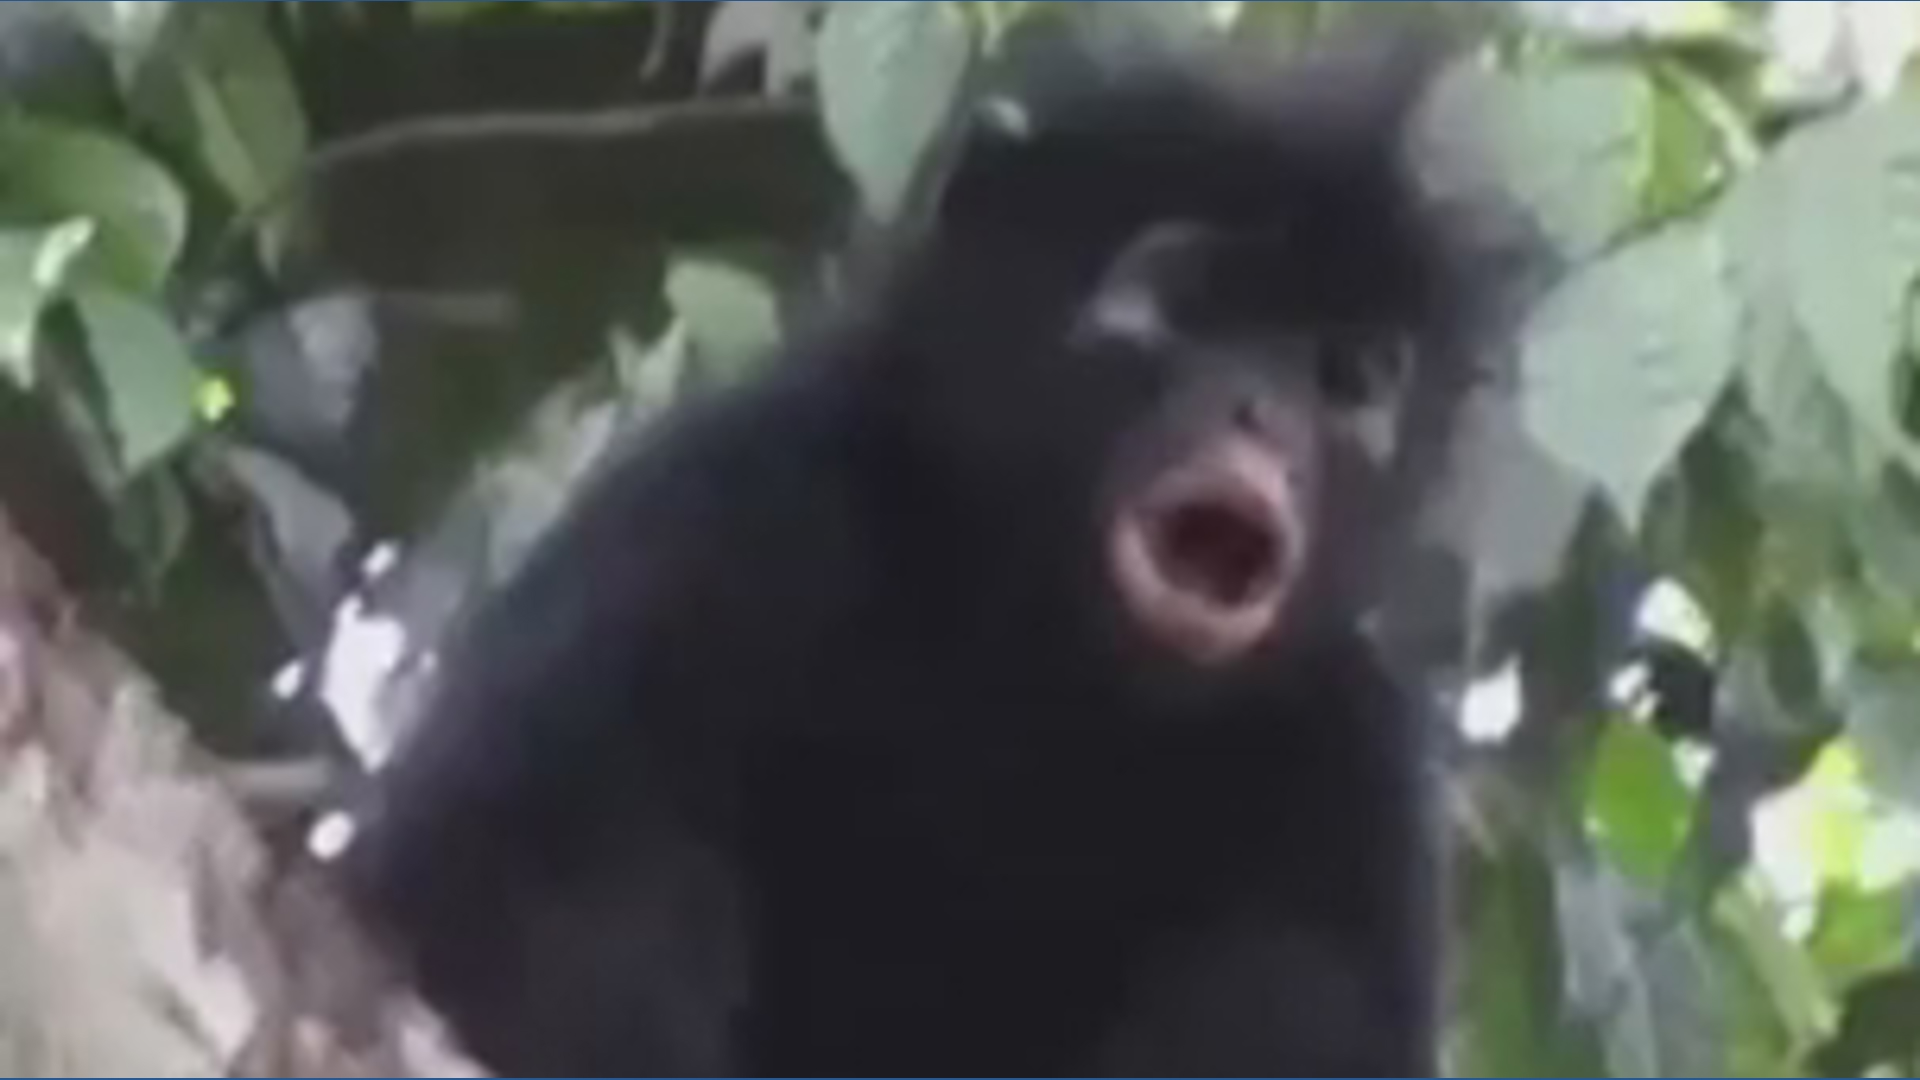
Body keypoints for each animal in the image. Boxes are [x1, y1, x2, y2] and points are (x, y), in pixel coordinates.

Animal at [340, 27, 1515, 1077]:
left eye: (1348, 380)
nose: (1262, 414)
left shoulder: (1357, 763)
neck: (1037, 663)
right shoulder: (723, 502)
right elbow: (487, 873)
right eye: (1182, 302)